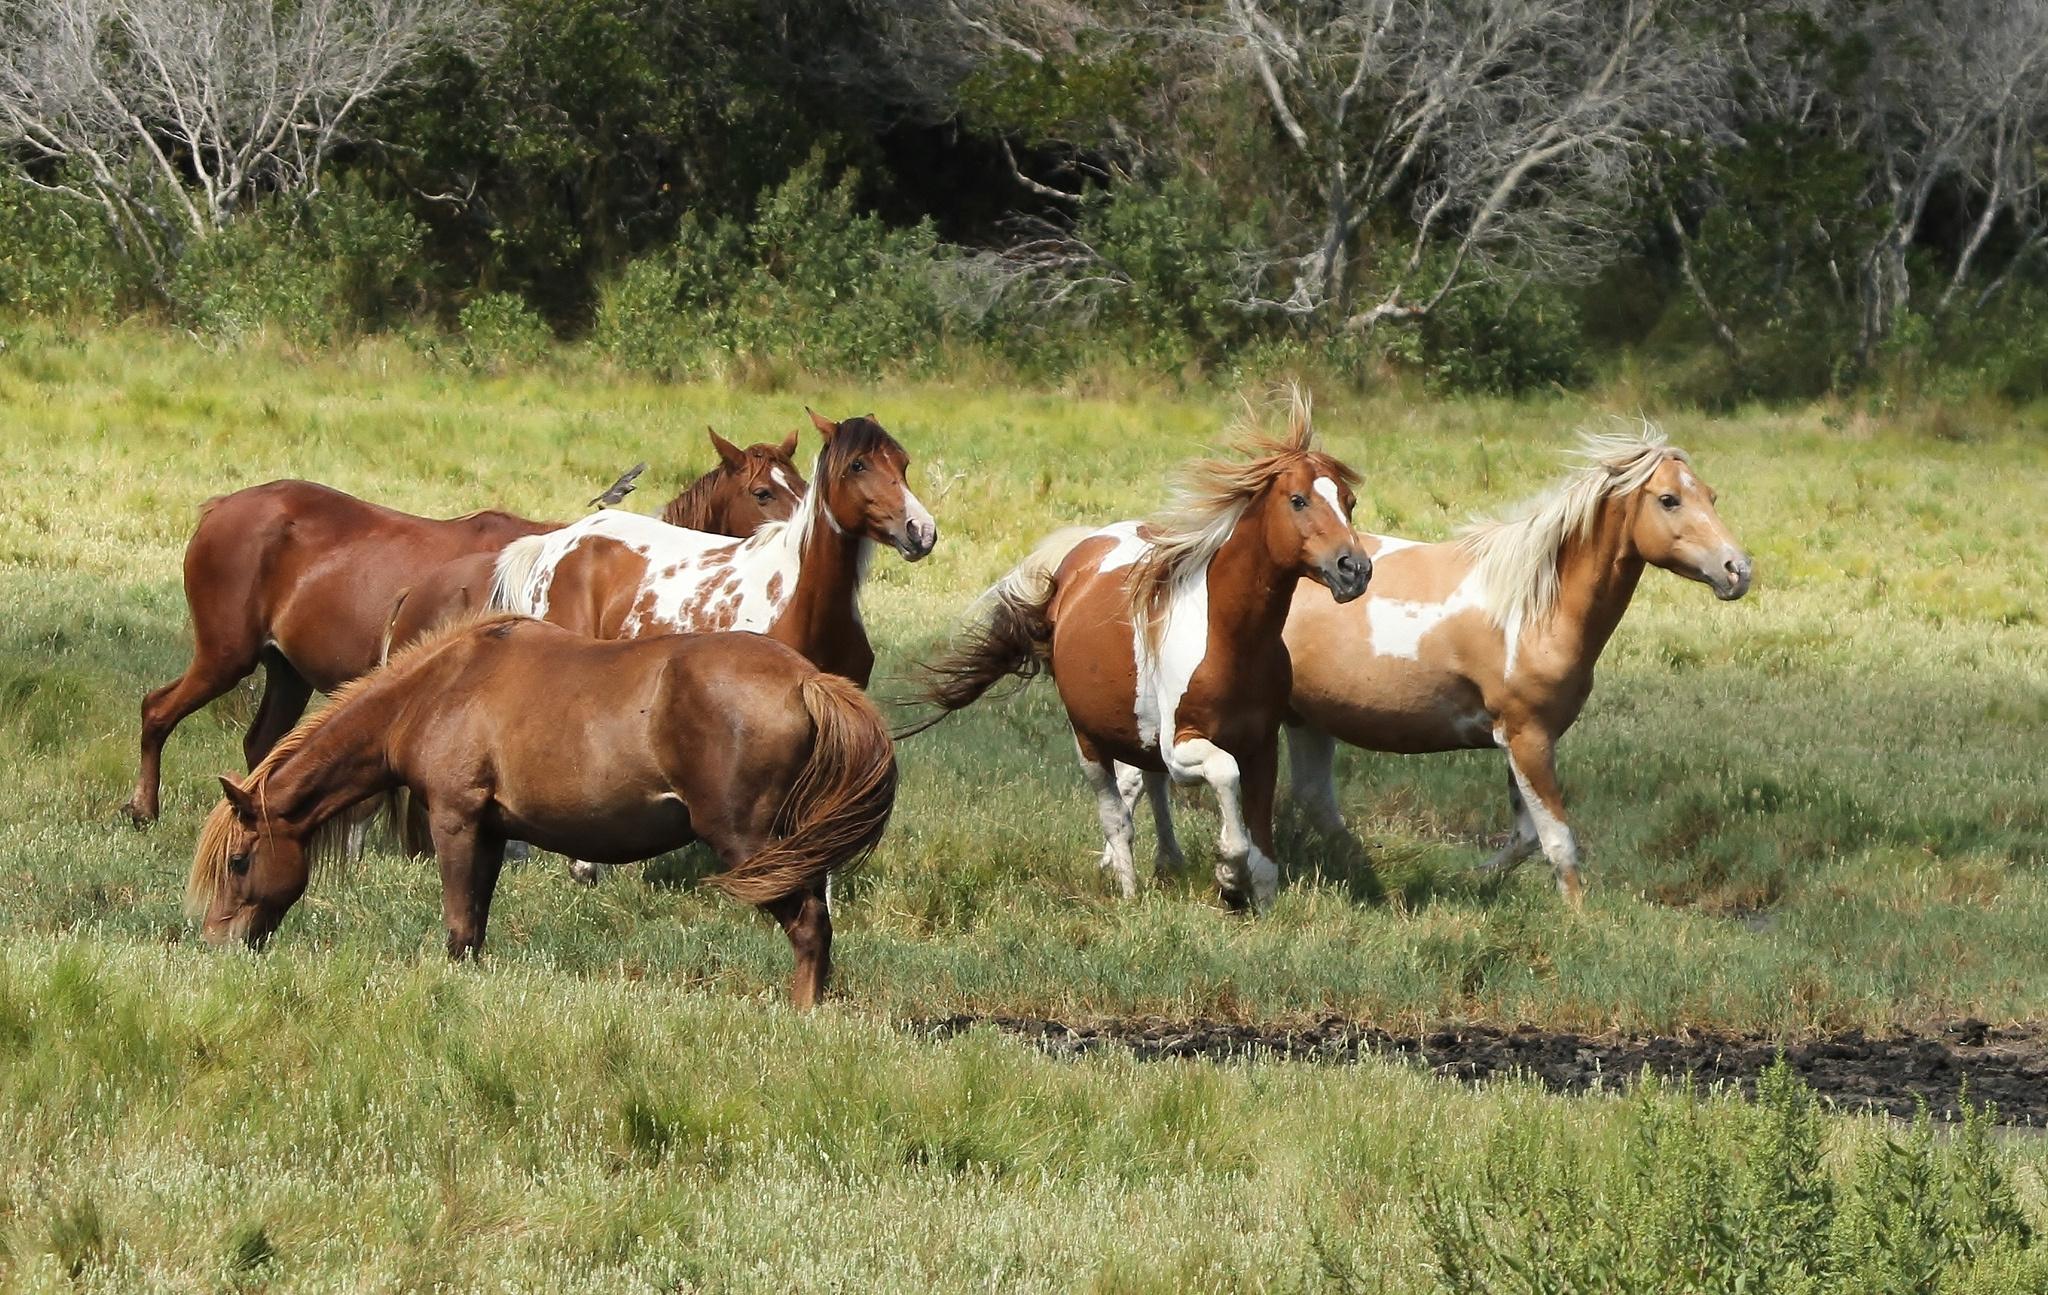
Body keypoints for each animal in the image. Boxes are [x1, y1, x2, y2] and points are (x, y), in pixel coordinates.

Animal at [125, 428, 804, 824]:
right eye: (763, 492)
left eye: (800, 482)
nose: (803, 533)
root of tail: (221, 508)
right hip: (225, 655)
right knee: (157, 711)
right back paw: (143, 809)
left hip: (285, 671)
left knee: (262, 744)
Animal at [184, 614, 896, 1009]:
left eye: (241, 861)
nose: (216, 947)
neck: (438, 689)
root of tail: (806, 679)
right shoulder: (494, 832)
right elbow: (475, 927)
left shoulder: (455, 821)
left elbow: (457, 925)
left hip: (753, 845)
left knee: (808, 926)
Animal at [906, 392, 1369, 911]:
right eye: (1298, 500)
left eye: (1349, 502)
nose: (1355, 569)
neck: (1231, 639)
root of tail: (1080, 554)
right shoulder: (1184, 748)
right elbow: (1224, 781)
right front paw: (1228, 874)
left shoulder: (1261, 745)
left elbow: (1263, 841)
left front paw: (1260, 901)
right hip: (1089, 742)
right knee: (1117, 818)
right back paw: (1128, 890)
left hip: (1138, 735)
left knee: (1150, 785)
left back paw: (1169, 863)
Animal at [1280, 423, 1753, 905]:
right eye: (1669, 499)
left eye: (1711, 496)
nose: (1738, 570)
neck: (1533, 609)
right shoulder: (1529, 737)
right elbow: (1558, 842)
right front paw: (1578, 914)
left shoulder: (1521, 738)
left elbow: (1525, 838)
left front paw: (1472, 877)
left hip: (1307, 718)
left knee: (1314, 799)